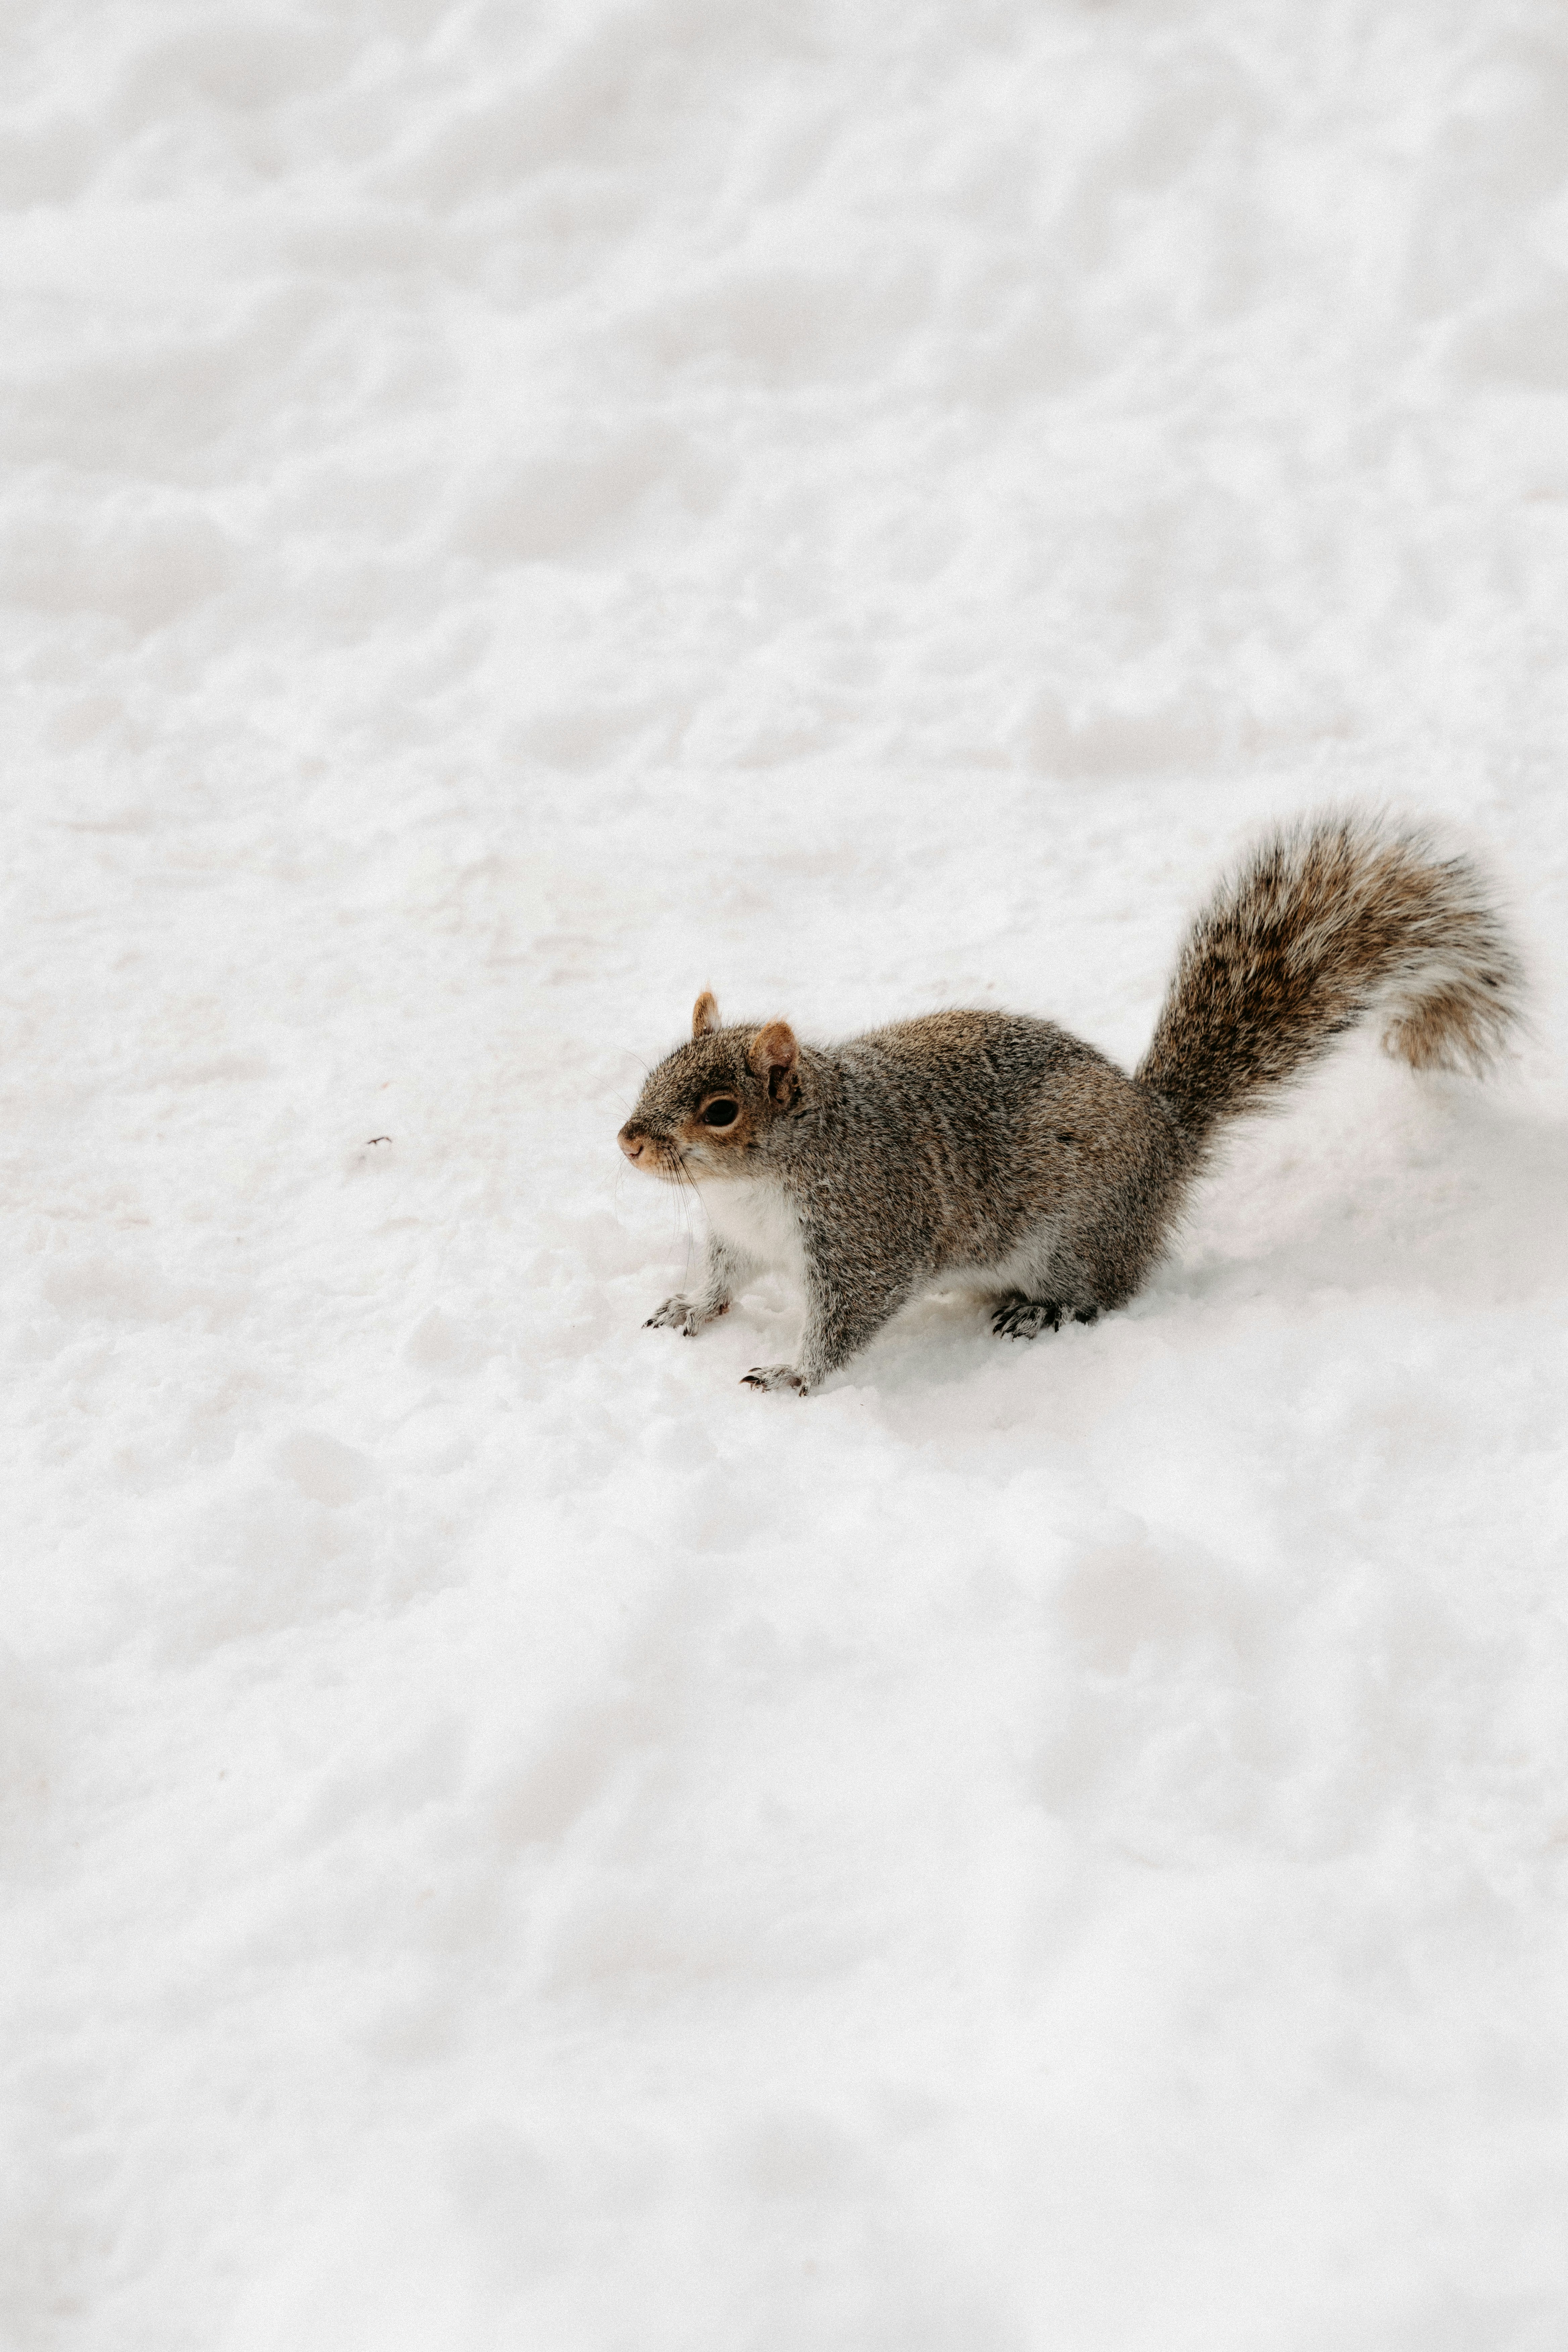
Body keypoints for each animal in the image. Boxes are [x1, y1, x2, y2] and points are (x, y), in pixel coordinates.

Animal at [617, 812, 1522, 1395]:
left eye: (721, 1110)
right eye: (656, 1070)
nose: (627, 1141)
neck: (756, 1180)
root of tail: (1164, 1137)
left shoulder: (866, 1228)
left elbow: (849, 1316)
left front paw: (792, 1373)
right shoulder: (738, 1236)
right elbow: (721, 1278)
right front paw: (688, 1307)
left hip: (1075, 1236)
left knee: (1102, 1292)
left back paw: (1040, 1314)